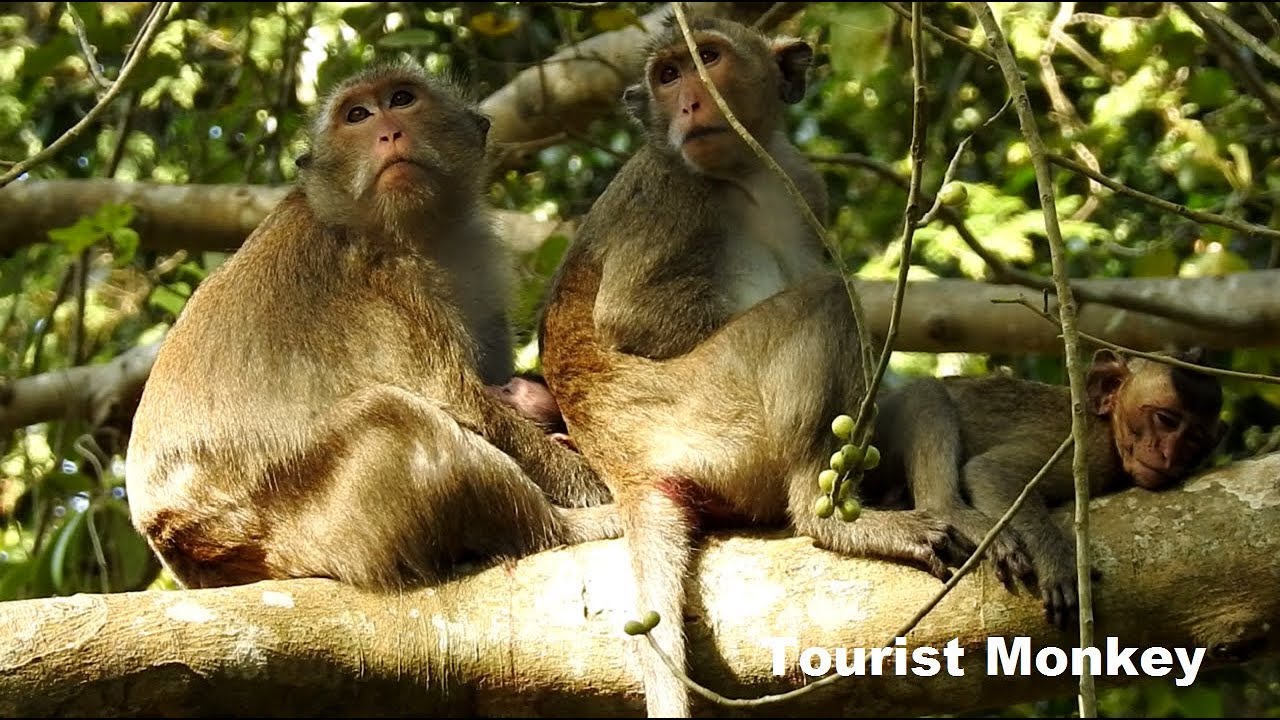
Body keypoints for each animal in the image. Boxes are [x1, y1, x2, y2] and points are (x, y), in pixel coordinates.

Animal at [124, 60, 618, 593]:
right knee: (390, 415)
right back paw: (565, 527)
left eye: (401, 99)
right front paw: (590, 482)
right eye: (357, 115)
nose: (388, 130)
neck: (412, 233)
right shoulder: (384, 277)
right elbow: (458, 399)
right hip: (301, 522)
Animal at [537, 17, 974, 717]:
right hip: (711, 416)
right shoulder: (667, 193)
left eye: (707, 59)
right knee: (825, 298)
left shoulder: (803, 181)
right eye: (669, 75)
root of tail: (625, 464)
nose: (690, 102)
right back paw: (827, 520)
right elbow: (629, 319)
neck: (746, 172)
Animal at [861, 348, 1226, 629]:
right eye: (1165, 419)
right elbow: (991, 472)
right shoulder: (1087, 448)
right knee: (926, 393)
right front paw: (1057, 562)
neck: (1107, 425)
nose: (1168, 456)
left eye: (1194, 440)